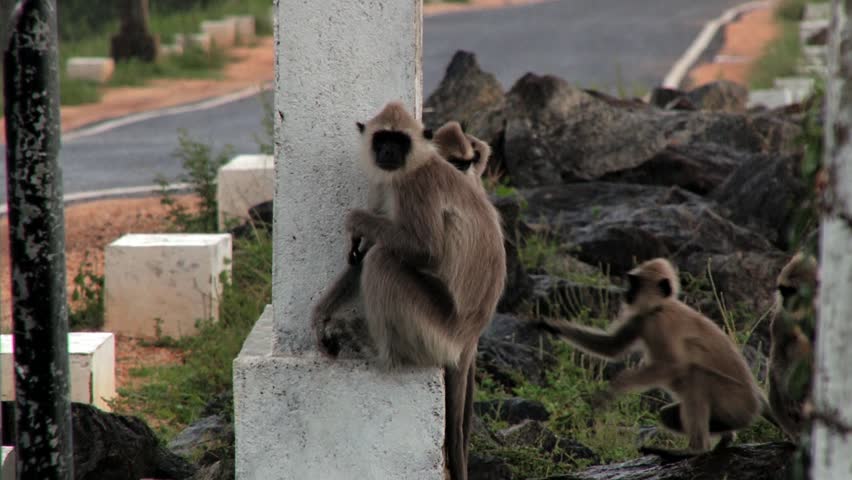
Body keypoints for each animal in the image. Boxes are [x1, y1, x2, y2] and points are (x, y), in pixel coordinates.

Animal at [311, 102, 506, 480]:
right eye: (382, 139)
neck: (415, 164)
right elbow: (363, 253)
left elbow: (422, 251)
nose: (388, 152)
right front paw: (320, 315)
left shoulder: (415, 187)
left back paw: (381, 352)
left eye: (399, 141)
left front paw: (356, 221)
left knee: (384, 260)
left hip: (438, 326)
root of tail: (468, 336)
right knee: (379, 253)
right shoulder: (382, 186)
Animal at [540, 258, 764, 461]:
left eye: (635, 284)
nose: (626, 293)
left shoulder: (659, 322)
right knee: (669, 415)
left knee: (695, 376)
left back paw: (695, 450)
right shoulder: (641, 318)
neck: (660, 307)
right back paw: (725, 439)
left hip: (735, 404)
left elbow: (674, 365)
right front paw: (548, 325)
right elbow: (612, 346)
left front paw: (614, 388)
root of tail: (755, 405)